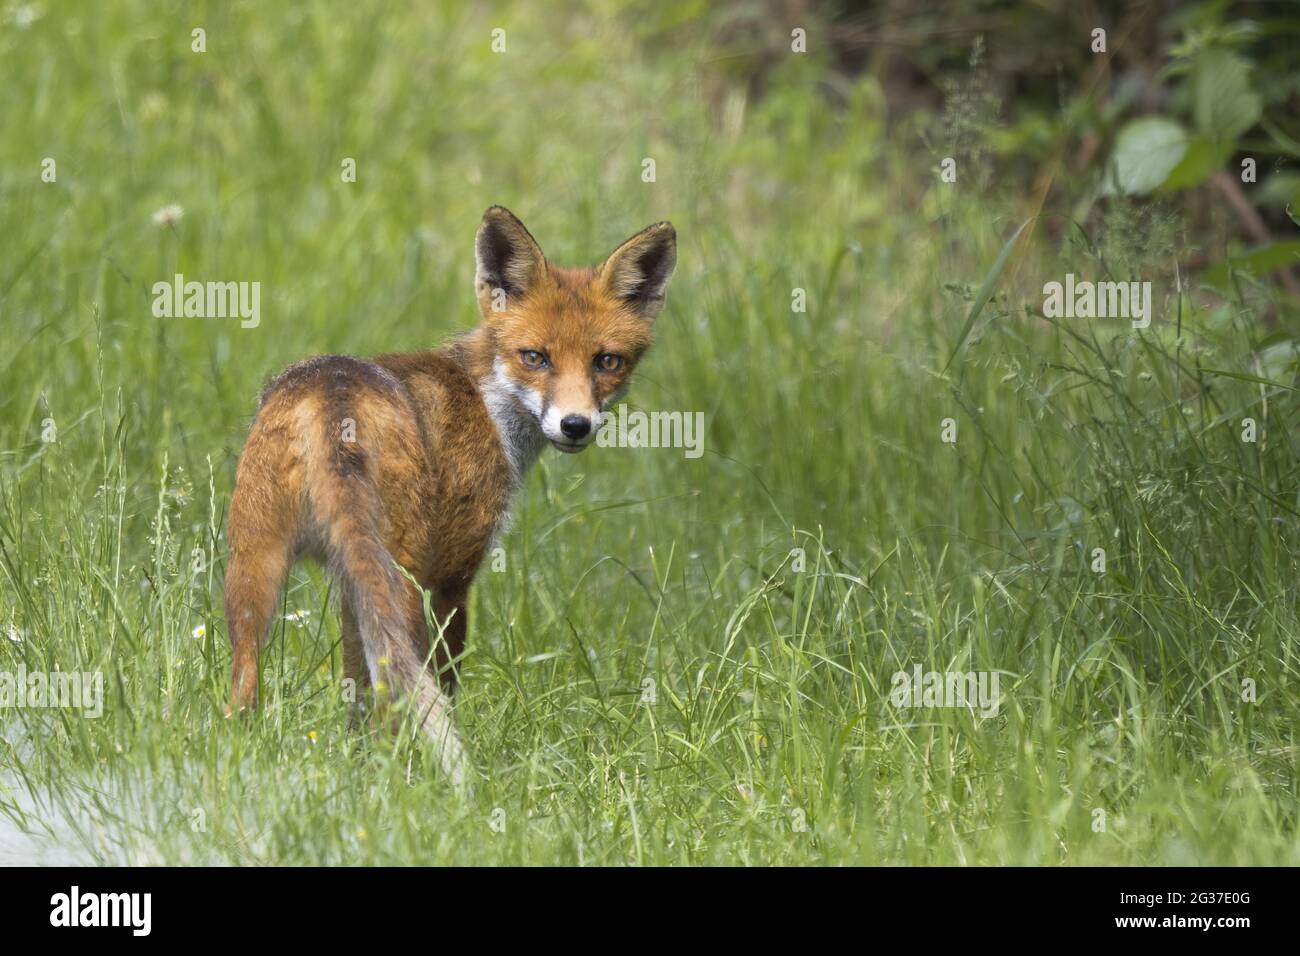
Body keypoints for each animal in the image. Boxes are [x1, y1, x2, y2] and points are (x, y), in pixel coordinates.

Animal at [223, 206, 677, 784]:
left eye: (607, 361)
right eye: (535, 357)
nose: (574, 425)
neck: (487, 402)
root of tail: (331, 390)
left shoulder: (351, 585)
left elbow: (354, 690)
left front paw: (354, 762)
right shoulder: (454, 578)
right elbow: (443, 685)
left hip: (256, 567)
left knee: (244, 686)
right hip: (398, 575)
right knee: (393, 689)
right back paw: (399, 776)